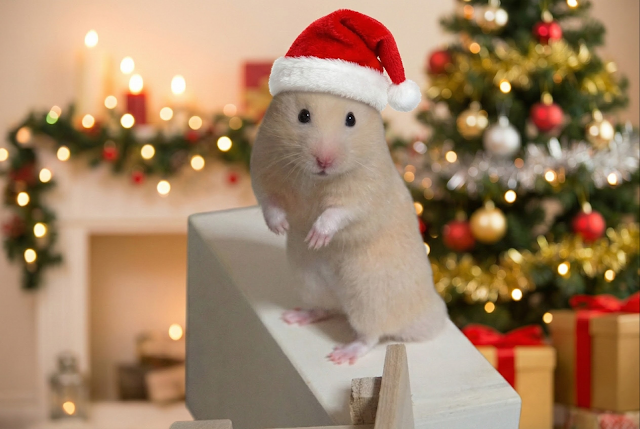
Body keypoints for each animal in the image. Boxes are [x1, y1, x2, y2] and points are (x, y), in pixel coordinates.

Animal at [250, 91, 448, 364]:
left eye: (351, 119)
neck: (315, 179)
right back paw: (294, 317)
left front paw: (316, 238)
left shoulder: (364, 194)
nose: (323, 160)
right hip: (310, 282)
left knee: (371, 336)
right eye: (303, 115)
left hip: (369, 298)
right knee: (326, 309)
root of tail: (429, 315)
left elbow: (338, 213)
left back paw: (341, 355)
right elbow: (269, 203)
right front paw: (282, 227)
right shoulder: (263, 166)